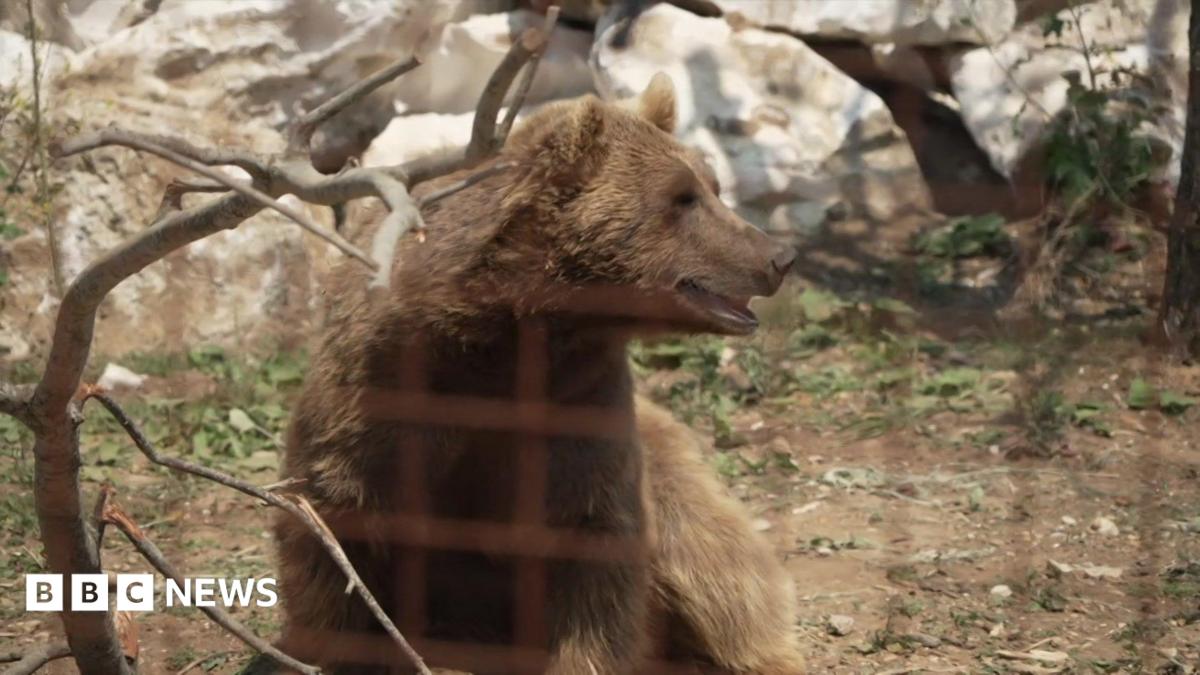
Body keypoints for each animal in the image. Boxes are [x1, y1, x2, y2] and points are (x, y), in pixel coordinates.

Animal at [271, 73, 804, 675]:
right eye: (683, 196)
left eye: (711, 187)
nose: (779, 257)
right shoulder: (379, 402)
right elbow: (334, 543)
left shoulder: (579, 410)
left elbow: (594, 559)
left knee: (720, 572)